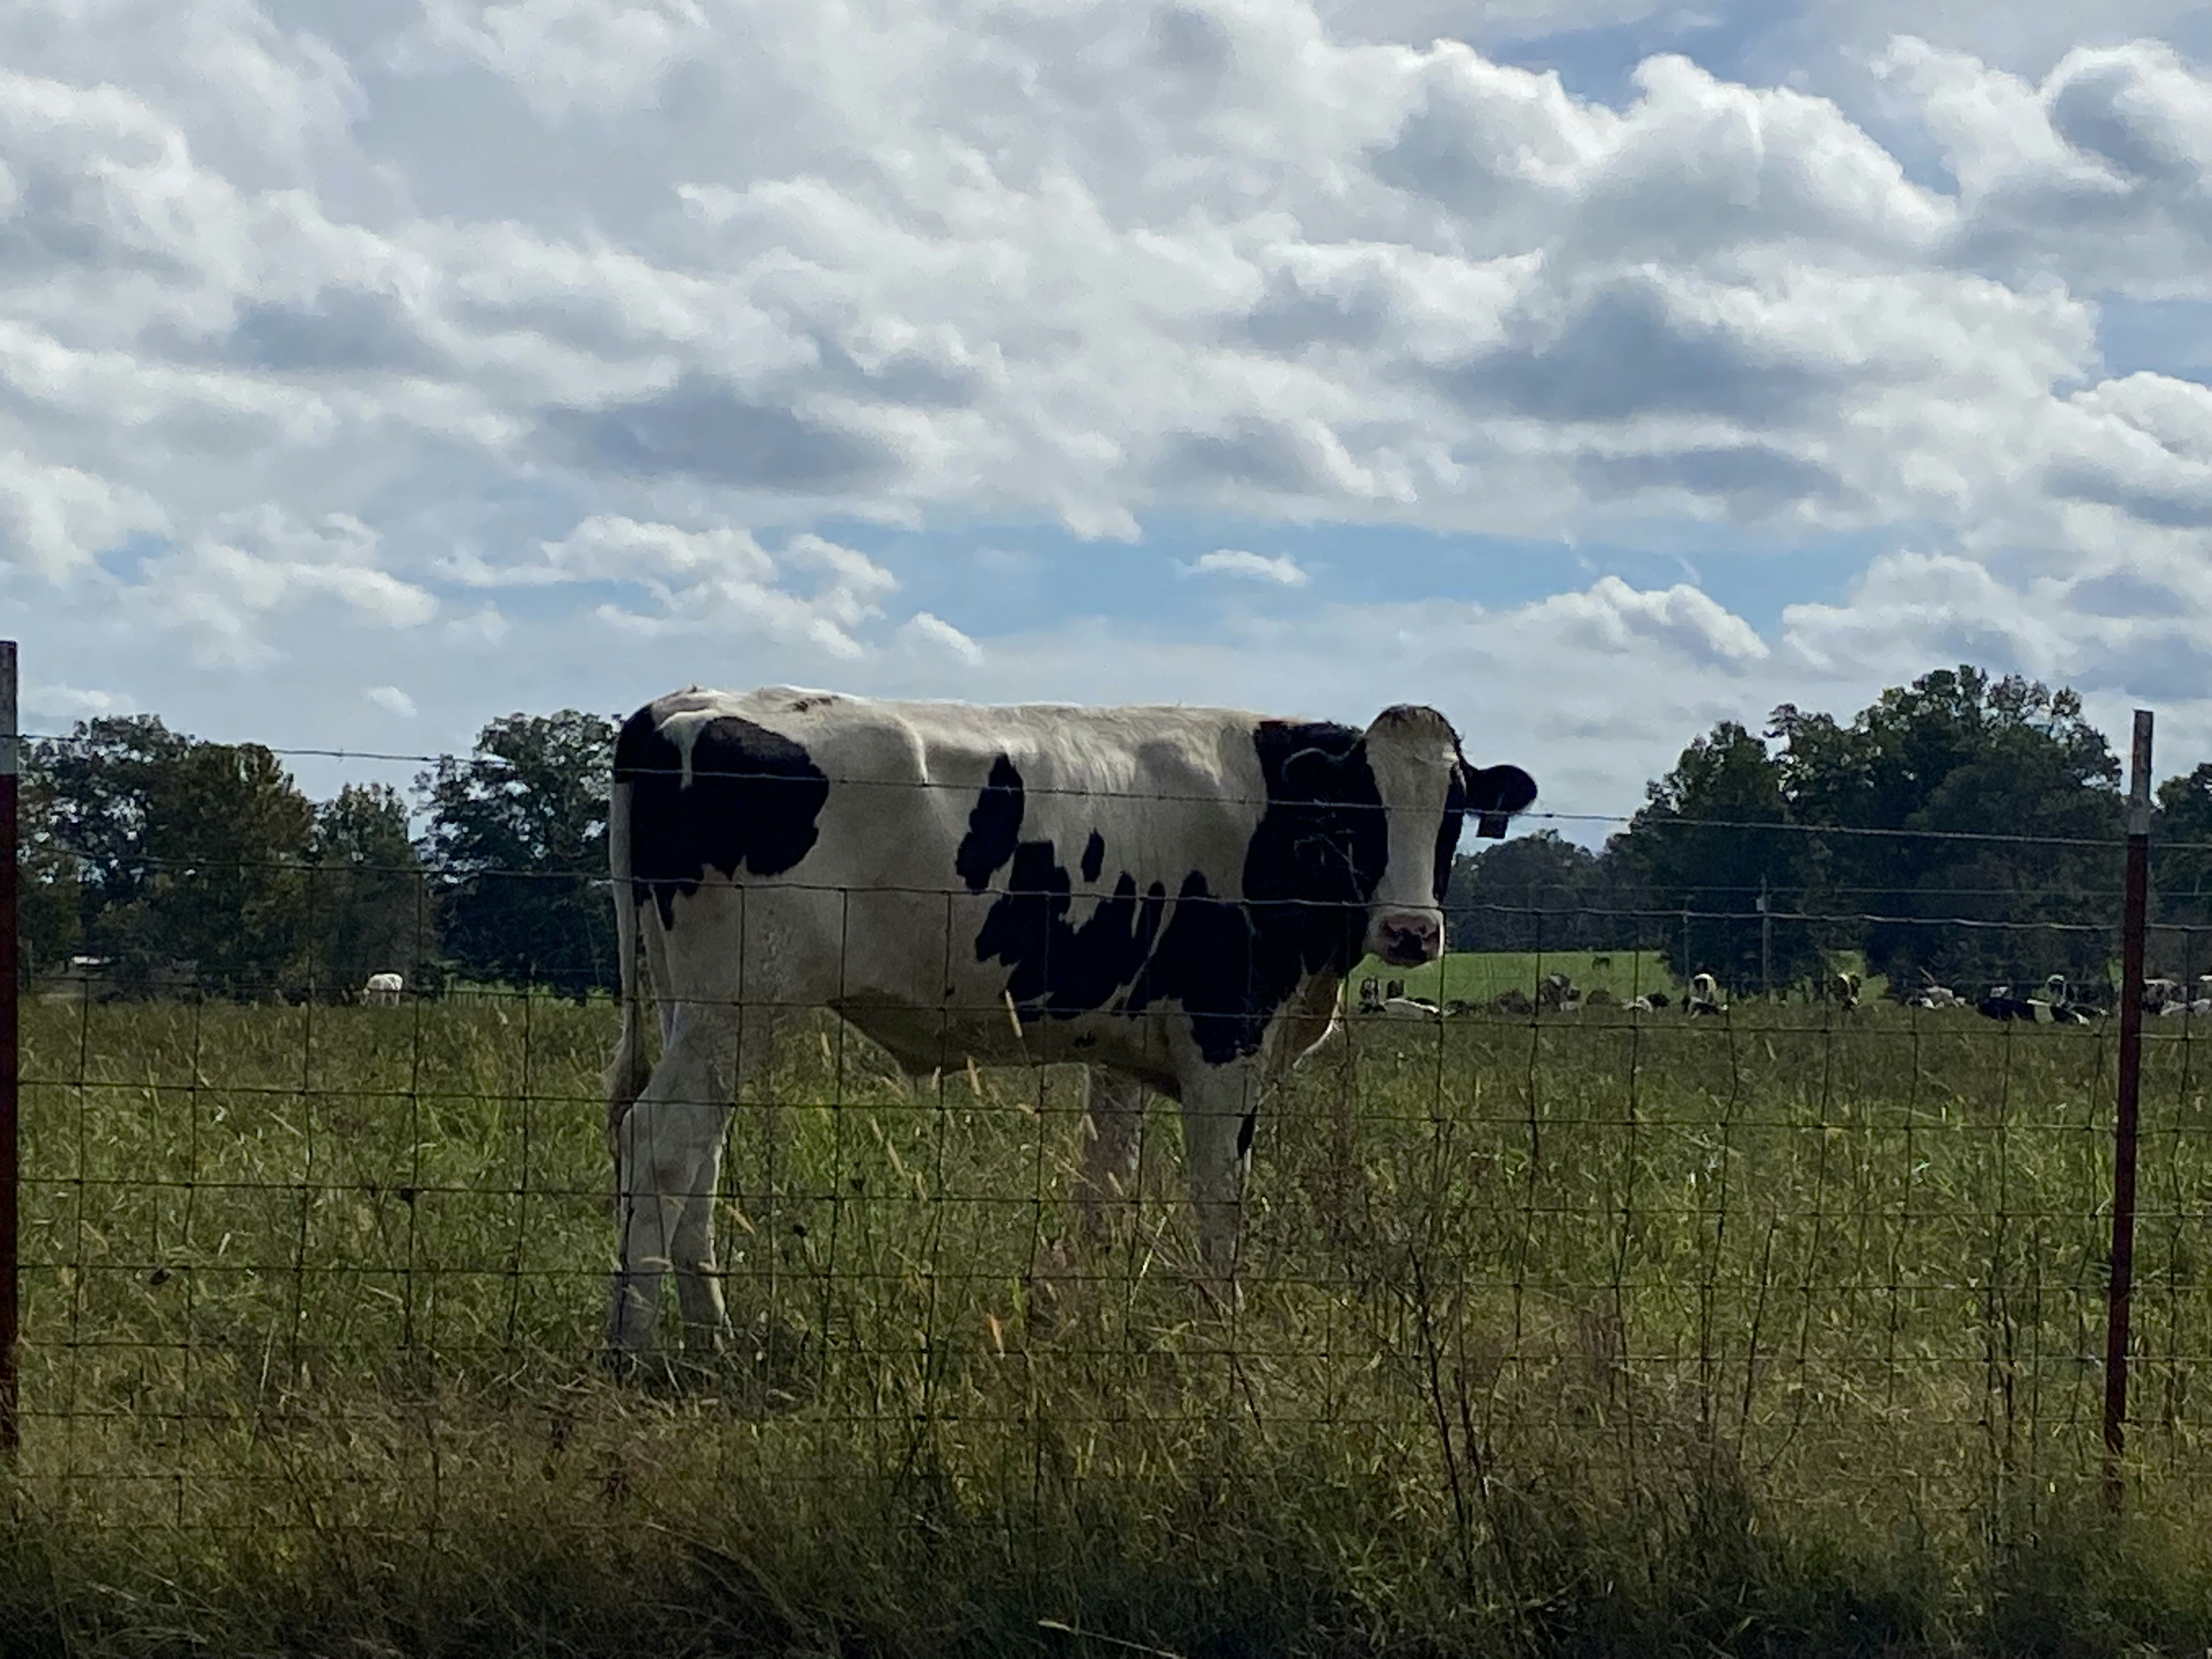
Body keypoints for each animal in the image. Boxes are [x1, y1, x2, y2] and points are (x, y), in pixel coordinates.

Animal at [600, 688, 1538, 1354]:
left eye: (1455, 810)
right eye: (1358, 814)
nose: (1411, 932)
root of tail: (683, 706)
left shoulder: (1125, 1052)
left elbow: (1102, 1188)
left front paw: (1068, 1318)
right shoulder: (1225, 1039)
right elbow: (1219, 1194)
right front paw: (1224, 1325)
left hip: (702, 1009)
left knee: (695, 1151)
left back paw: (711, 1334)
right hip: (737, 1002)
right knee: (663, 1141)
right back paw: (639, 1346)